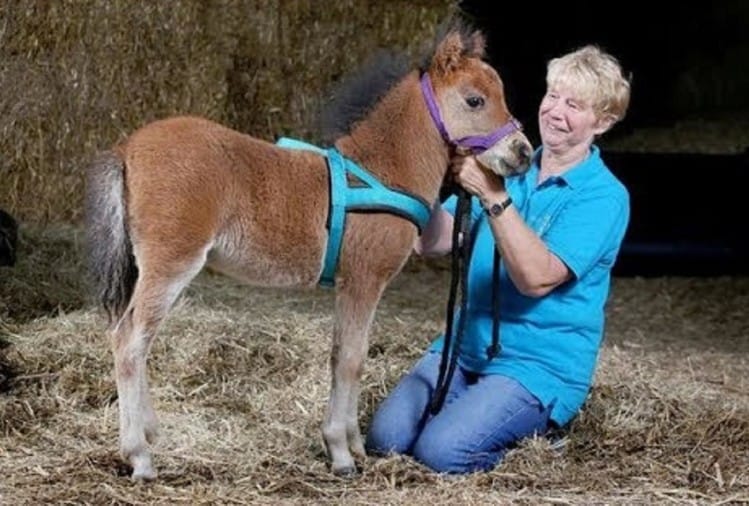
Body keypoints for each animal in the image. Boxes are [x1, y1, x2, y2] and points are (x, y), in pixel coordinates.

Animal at [84, 23, 533, 480]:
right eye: (475, 100)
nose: (523, 152)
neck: (380, 170)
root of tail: (127, 148)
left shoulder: (353, 285)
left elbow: (346, 356)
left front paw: (355, 447)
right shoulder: (362, 280)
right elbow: (350, 358)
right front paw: (340, 453)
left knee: (138, 338)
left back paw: (149, 433)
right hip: (171, 264)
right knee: (129, 340)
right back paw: (139, 455)